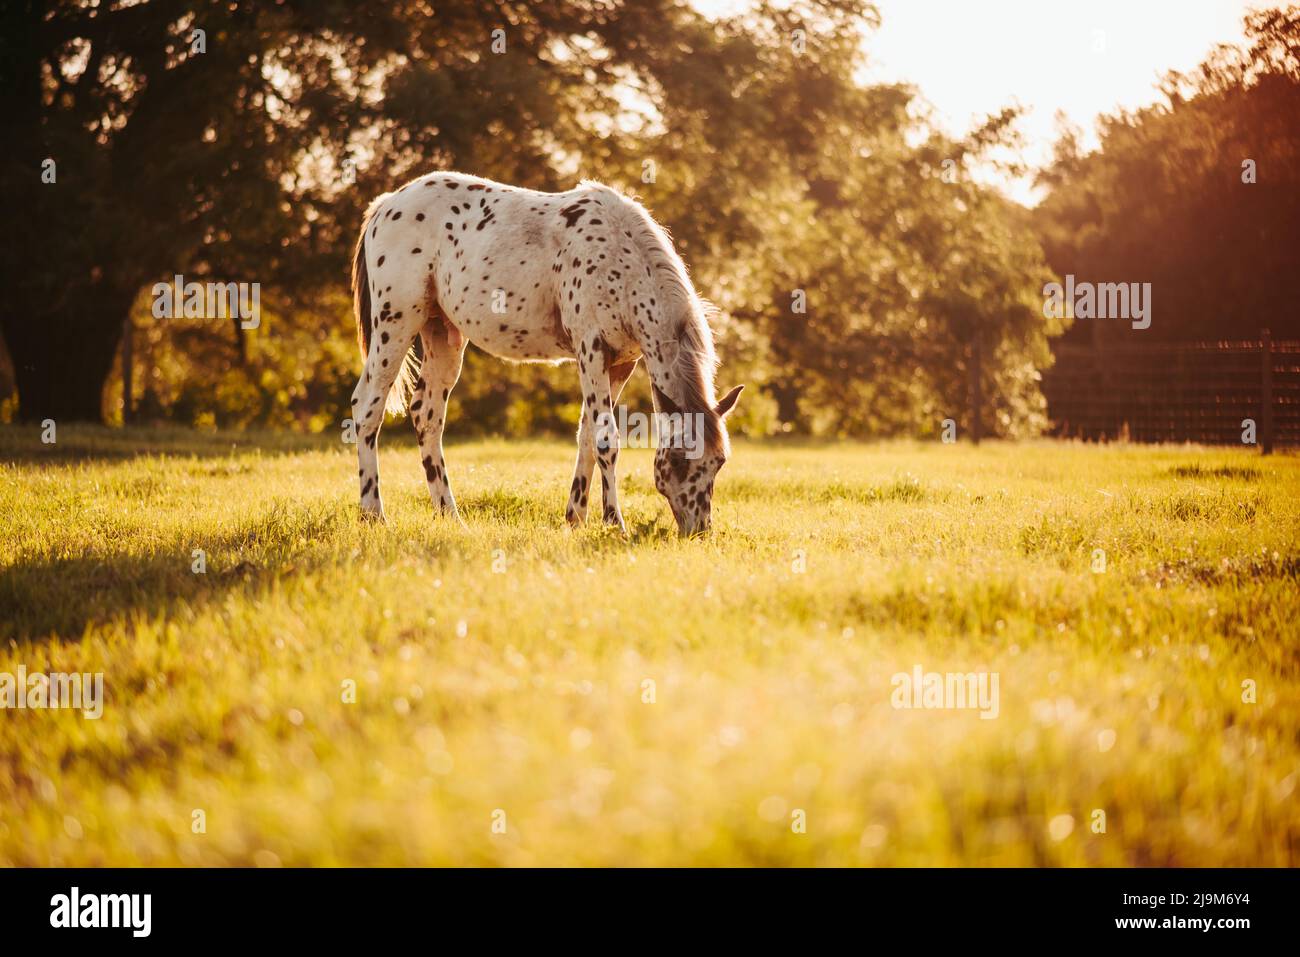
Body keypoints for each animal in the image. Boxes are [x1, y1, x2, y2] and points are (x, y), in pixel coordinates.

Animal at [349, 172, 743, 535]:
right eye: (678, 461)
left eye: (719, 461)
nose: (699, 530)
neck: (621, 257)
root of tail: (387, 204)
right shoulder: (591, 349)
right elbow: (606, 439)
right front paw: (614, 523)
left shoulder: (621, 363)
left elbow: (587, 436)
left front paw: (576, 518)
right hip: (397, 323)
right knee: (368, 406)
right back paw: (373, 514)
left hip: (442, 333)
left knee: (426, 415)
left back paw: (451, 515)